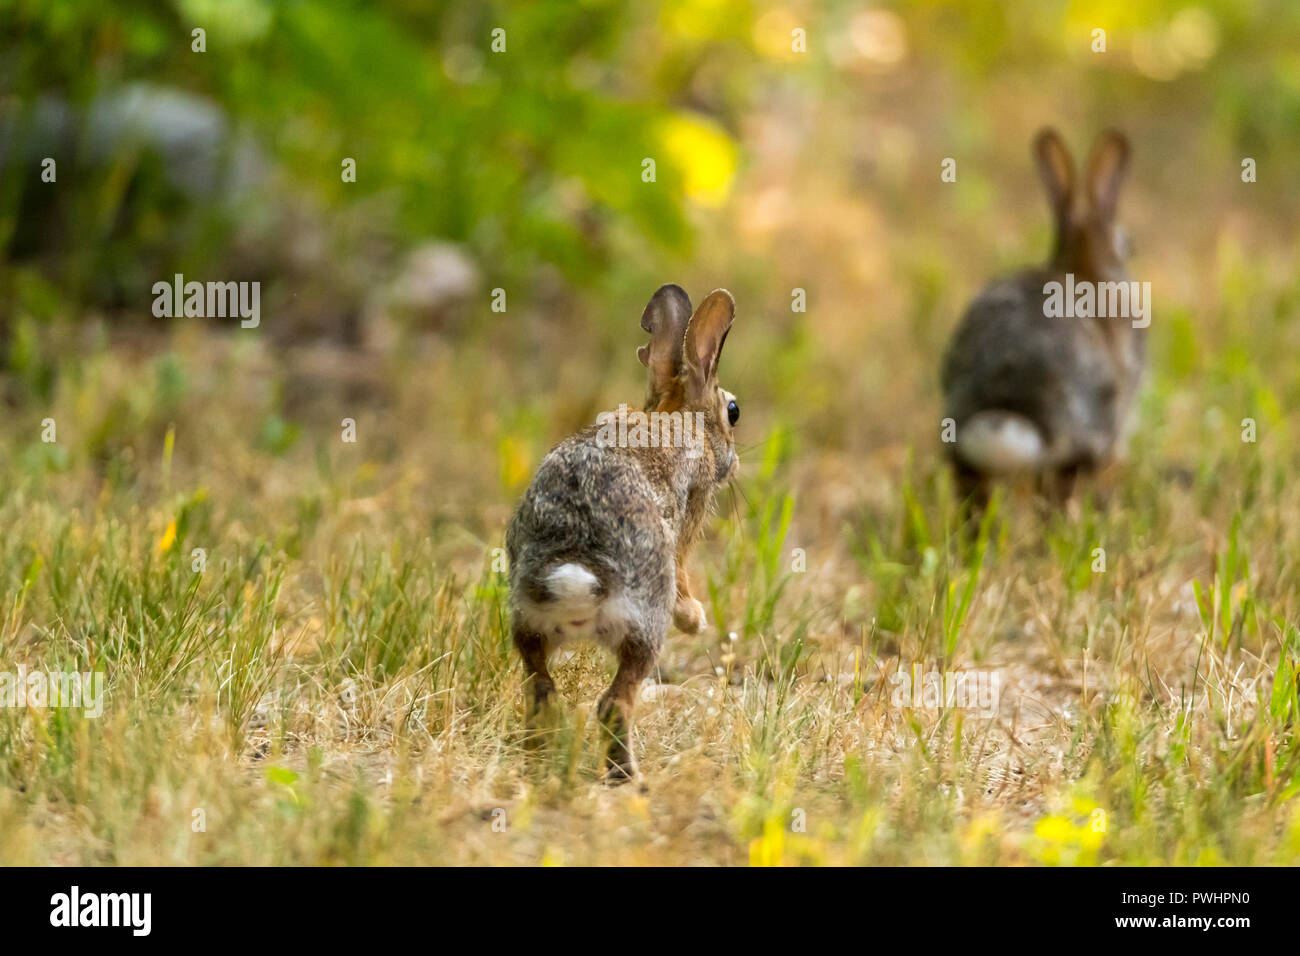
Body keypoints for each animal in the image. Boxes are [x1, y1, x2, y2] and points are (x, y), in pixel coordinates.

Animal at [506, 283, 740, 780]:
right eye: (733, 411)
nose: (732, 463)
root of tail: (576, 570)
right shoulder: (688, 517)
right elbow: (683, 572)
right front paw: (695, 619)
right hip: (643, 628)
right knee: (614, 703)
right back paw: (628, 778)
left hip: (528, 626)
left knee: (540, 694)